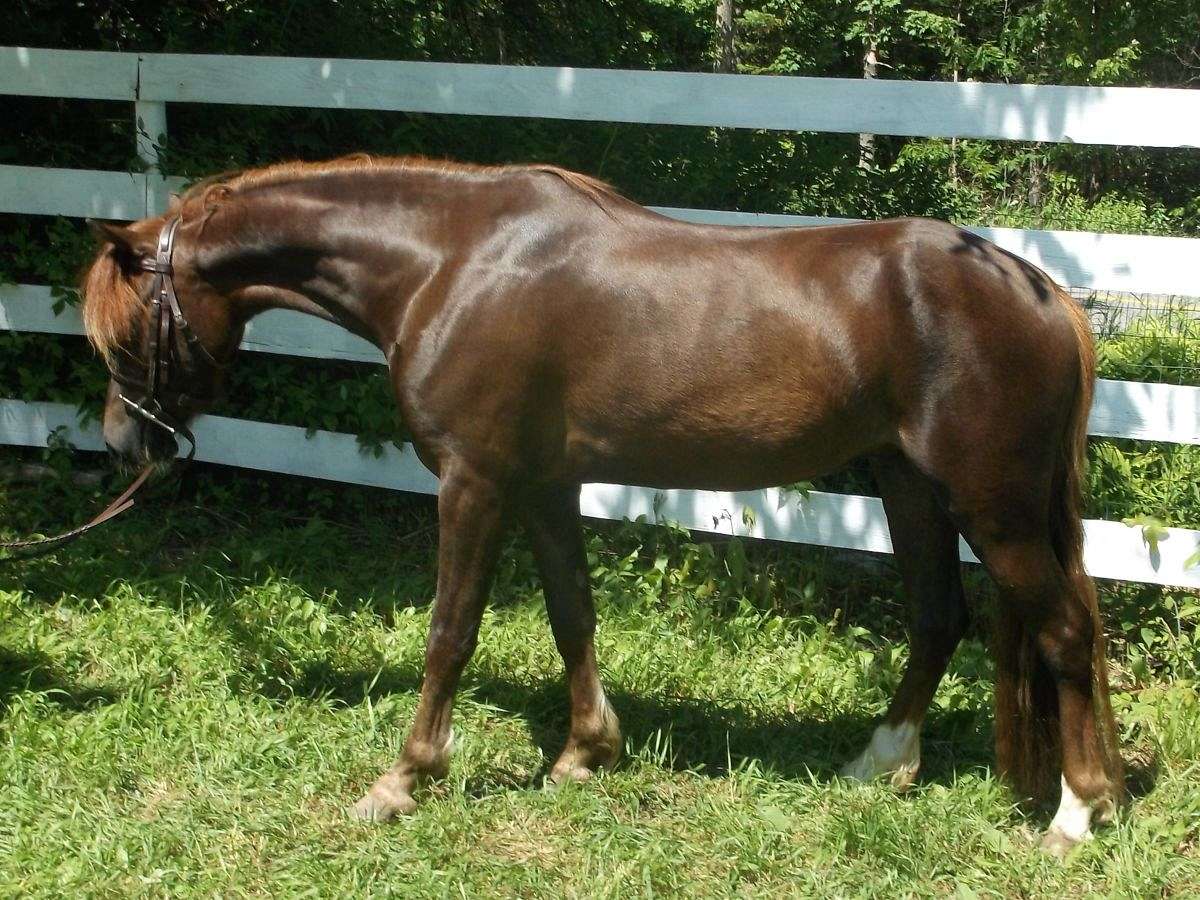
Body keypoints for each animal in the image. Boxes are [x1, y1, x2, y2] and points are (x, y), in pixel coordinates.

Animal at [79, 154, 1123, 854]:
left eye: (126, 334)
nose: (125, 444)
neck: (446, 264)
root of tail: (1043, 295)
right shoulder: (544, 483)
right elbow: (570, 613)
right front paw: (584, 754)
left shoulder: (474, 480)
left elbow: (450, 630)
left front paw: (404, 779)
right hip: (912, 489)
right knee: (939, 617)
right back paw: (879, 764)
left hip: (995, 506)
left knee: (1066, 632)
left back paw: (1077, 812)